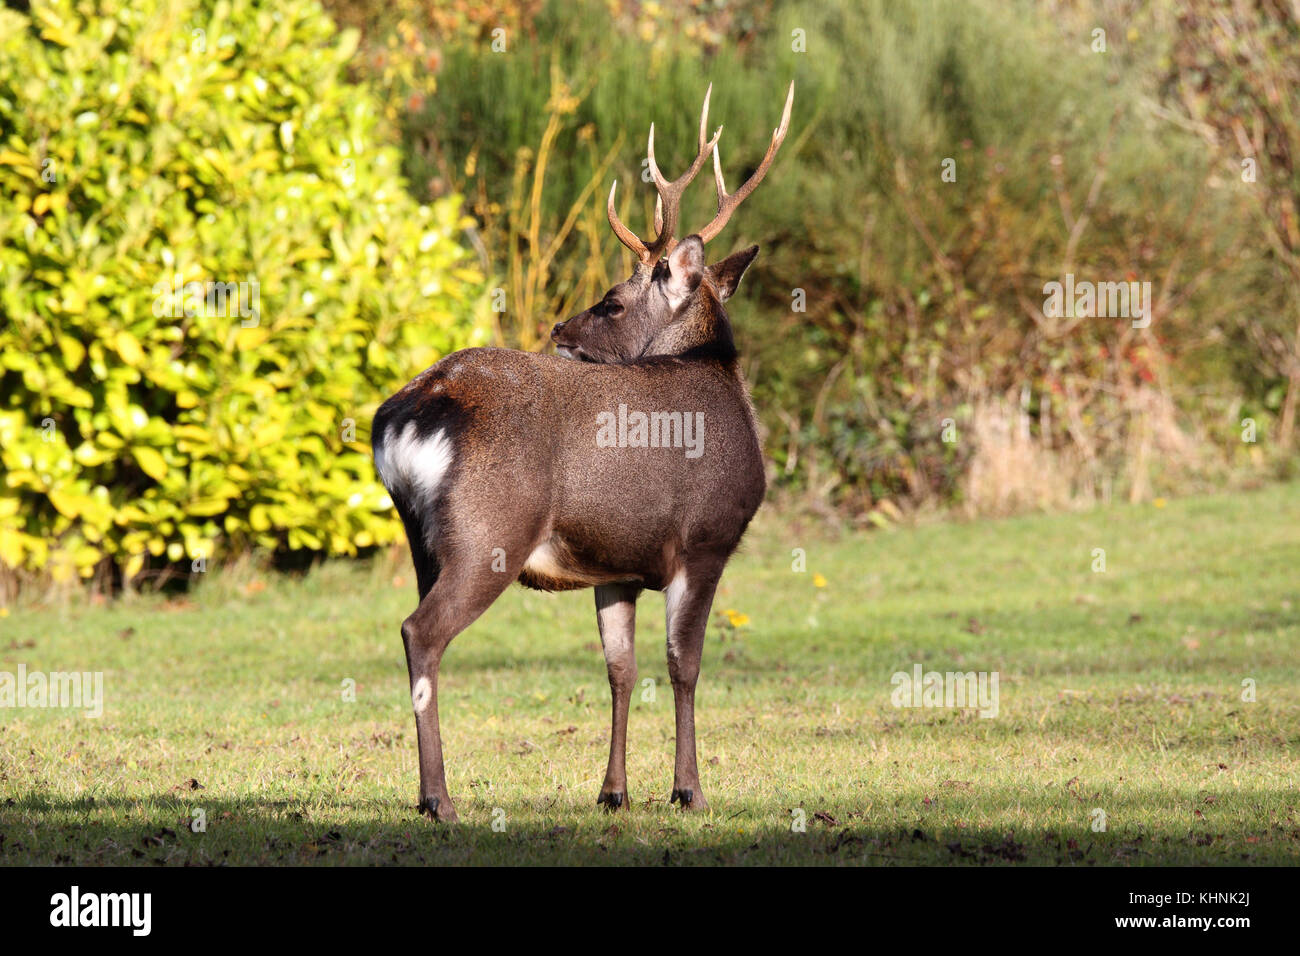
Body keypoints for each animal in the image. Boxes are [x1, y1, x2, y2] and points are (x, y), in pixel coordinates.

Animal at [371, 82, 793, 822]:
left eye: (611, 302)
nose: (560, 329)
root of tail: (412, 409)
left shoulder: (617, 563)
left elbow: (621, 671)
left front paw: (614, 791)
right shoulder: (707, 538)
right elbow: (685, 665)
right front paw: (690, 789)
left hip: (422, 543)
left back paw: (432, 795)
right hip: (489, 532)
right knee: (421, 632)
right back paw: (440, 799)